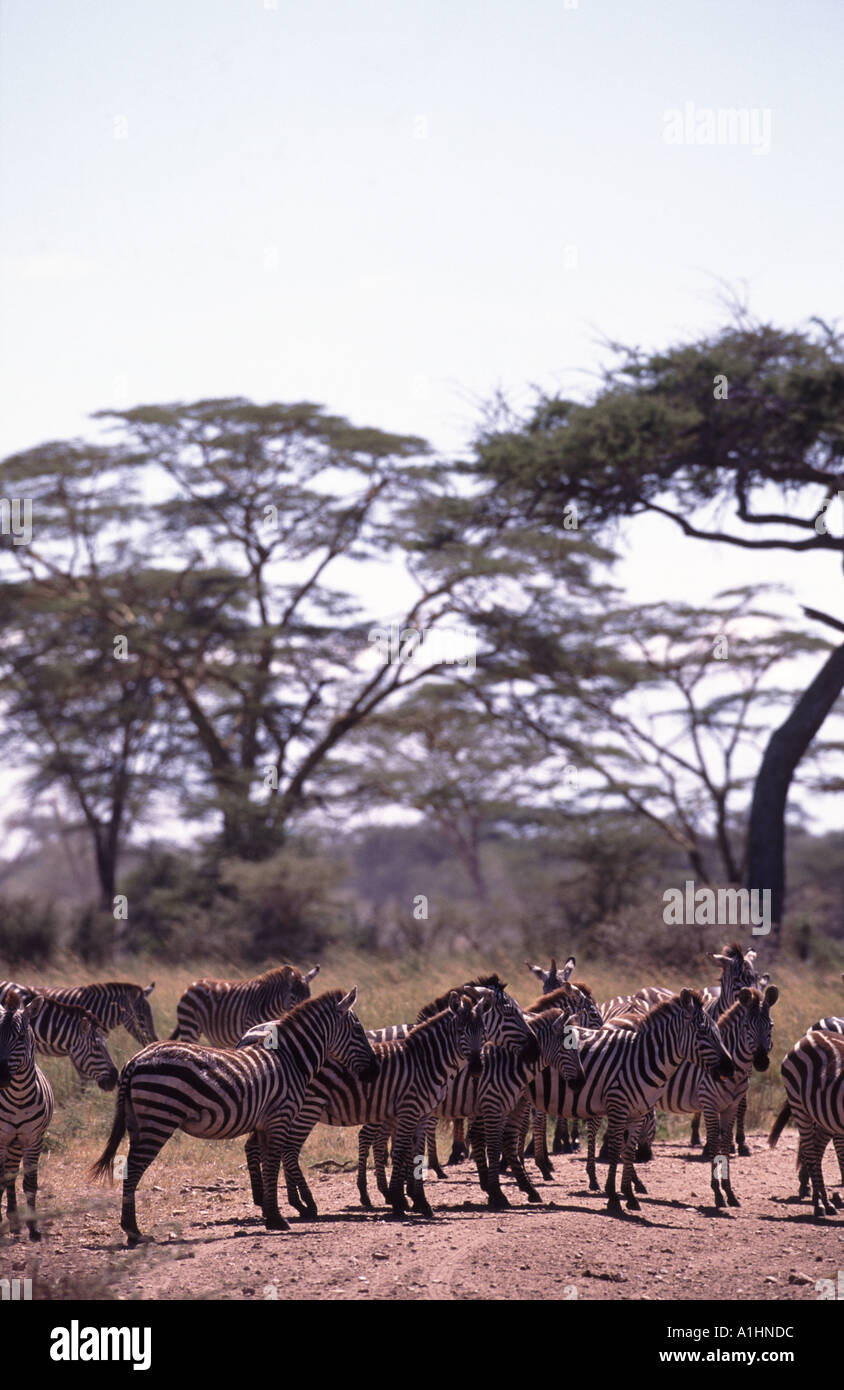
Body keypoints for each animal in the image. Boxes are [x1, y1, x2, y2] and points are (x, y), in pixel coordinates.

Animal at [90, 988, 375, 1245]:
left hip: (138, 1122)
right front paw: (277, 1218)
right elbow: (272, 1165)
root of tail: (135, 1060)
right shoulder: (279, 1117)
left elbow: (266, 1165)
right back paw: (134, 1232)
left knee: (129, 1167)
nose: (374, 1068)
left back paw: (132, 1231)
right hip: (158, 1120)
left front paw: (270, 1214)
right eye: (358, 1030)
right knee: (134, 1169)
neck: (290, 1060)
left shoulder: (265, 1123)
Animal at [240, 992, 488, 1221]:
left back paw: (287, 1202)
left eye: (483, 1032)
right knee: (289, 1150)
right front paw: (398, 1202)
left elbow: (416, 1153)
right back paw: (303, 1204)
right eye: (461, 1032)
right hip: (307, 1107)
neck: (426, 1062)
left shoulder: (422, 1114)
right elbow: (400, 1153)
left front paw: (420, 1202)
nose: (477, 1067)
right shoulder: (408, 1110)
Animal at [515, 990, 734, 1212]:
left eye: (718, 1031)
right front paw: (613, 1196)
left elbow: (628, 1153)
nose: (730, 1067)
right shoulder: (618, 1106)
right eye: (702, 1032)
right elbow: (614, 1151)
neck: (642, 1059)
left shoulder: (637, 1112)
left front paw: (629, 1195)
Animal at [769, 1028, 844, 1219]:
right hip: (799, 1107)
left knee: (817, 1152)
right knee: (810, 1153)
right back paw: (819, 1205)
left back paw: (824, 1201)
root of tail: (812, 1034)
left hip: (826, 1116)